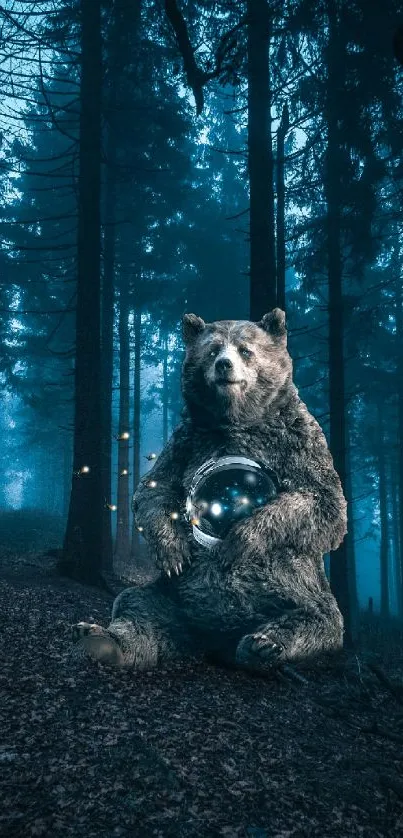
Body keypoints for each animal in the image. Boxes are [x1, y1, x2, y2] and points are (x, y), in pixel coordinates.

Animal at [72, 308, 347, 673]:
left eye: (245, 350)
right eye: (213, 350)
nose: (224, 366)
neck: (235, 421)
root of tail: (213, 639)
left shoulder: (298, 438)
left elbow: (324, 502)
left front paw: (241, 540)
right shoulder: (188, 441)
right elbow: (154, 489)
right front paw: (173, 552)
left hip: (297, 589)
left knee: (315, 619)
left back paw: (263, 646)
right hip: (171, 595)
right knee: (135, 606)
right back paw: (101, 639)